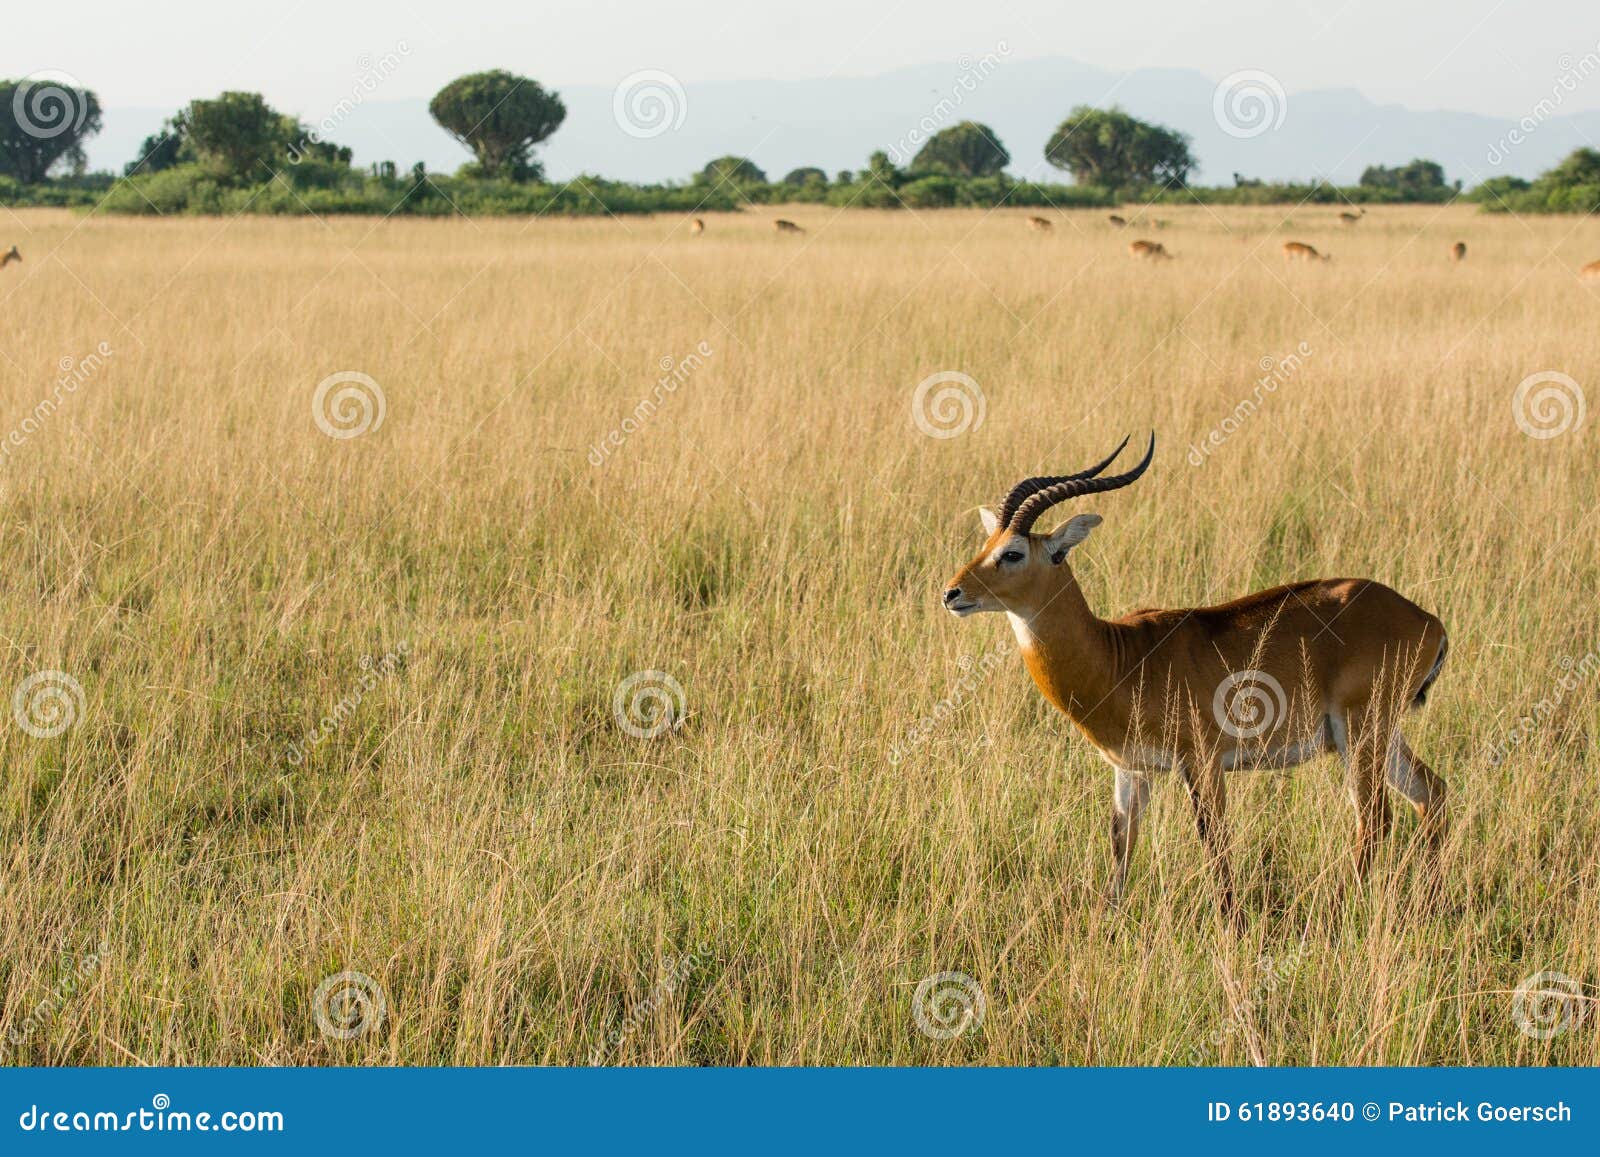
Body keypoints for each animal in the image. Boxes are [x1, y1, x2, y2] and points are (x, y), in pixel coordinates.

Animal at [942, 435, 1449, 925]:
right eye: (985, 546)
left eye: (1012, 553)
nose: (952, 592)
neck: (1120, 657)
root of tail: (1428, 620)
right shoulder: (1131, 769)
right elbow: (1122, 842)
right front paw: (1105, 922)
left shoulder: (1203, 762)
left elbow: (1213, 839)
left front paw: (1233, 924)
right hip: (1378, 736)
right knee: (1432, 793)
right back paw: (1431, 904)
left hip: (1359, 733)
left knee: (1375, 818)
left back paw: (1333, 914)